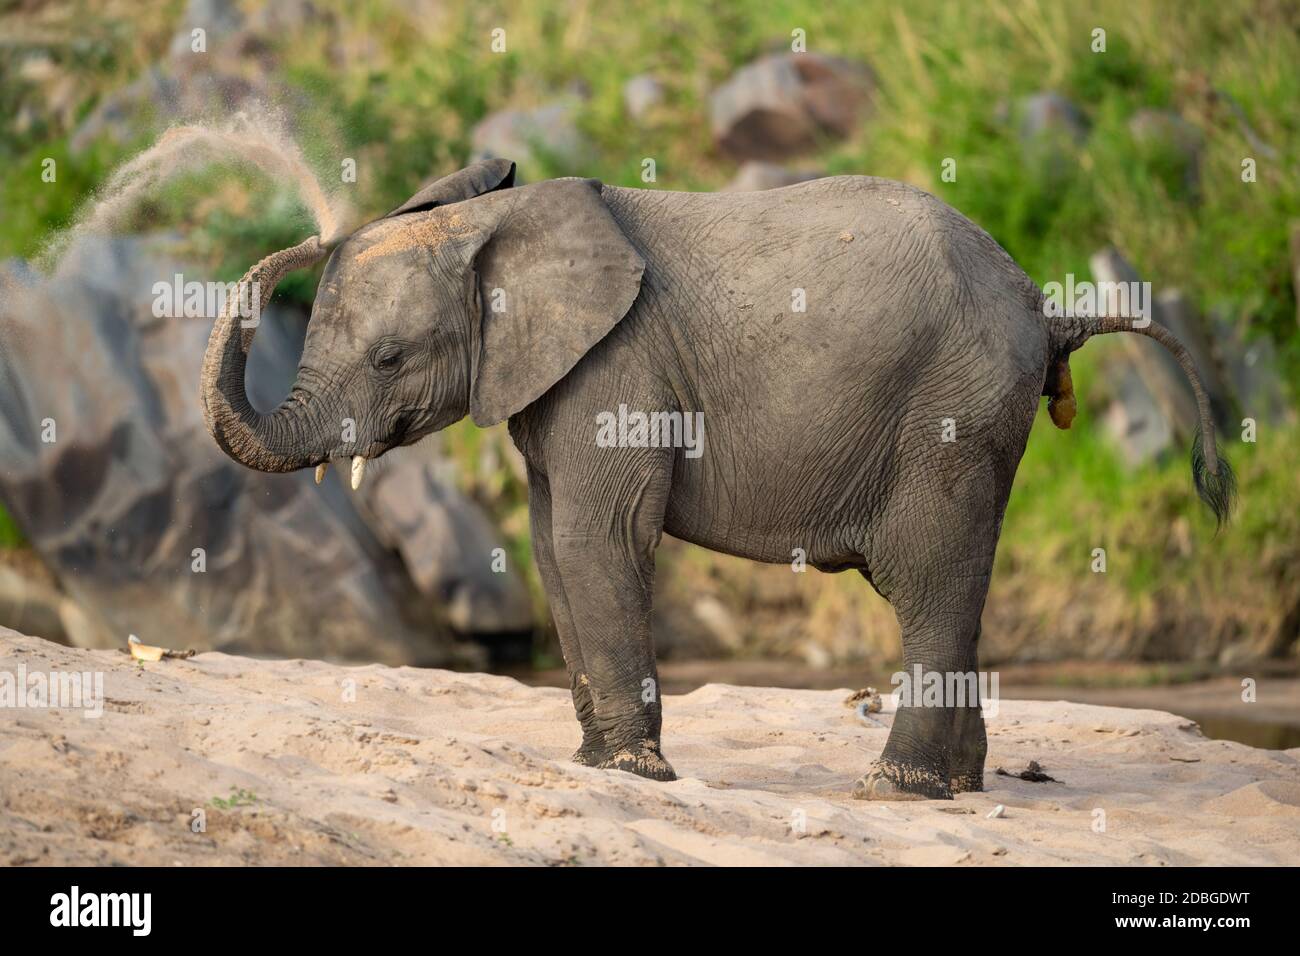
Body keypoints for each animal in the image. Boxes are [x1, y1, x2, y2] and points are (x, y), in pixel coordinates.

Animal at [201, 158, 1235, 799]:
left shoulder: (616, 367)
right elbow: (549, 544)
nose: (305, 233)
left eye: (388, 359)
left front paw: (631, 776)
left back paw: (896, 789)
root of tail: (1043, 305)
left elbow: (596, 539)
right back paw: (961, 785)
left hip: (951, 414)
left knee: (932, 580)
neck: (496, 219)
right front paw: (595, 765)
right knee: (961, 584)